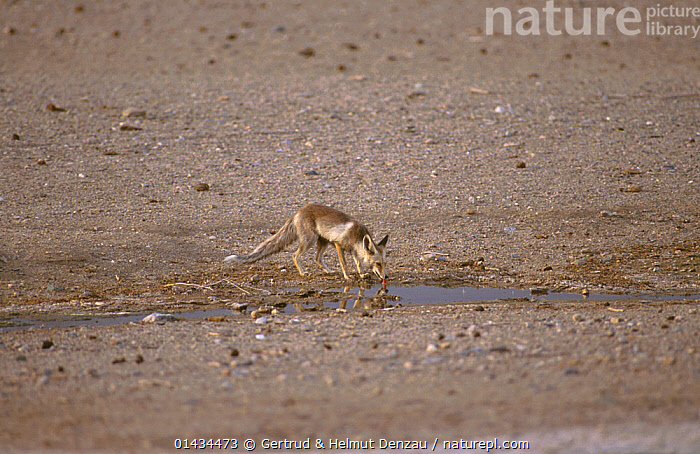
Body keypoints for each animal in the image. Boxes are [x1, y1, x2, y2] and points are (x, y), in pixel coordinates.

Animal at [224, 204, 388, 281]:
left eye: (384, 264)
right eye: (378, 264)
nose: (386, 277)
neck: (356, 236)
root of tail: (298, 212)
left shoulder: (353, 251)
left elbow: (359, 264)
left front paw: (361, 275)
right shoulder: (338, 244)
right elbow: (345, 264)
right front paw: (347, 277)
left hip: (323, 242)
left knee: (317, 259)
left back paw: (328, 271)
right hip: (310, 241)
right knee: (295, 255)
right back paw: (302, 272)